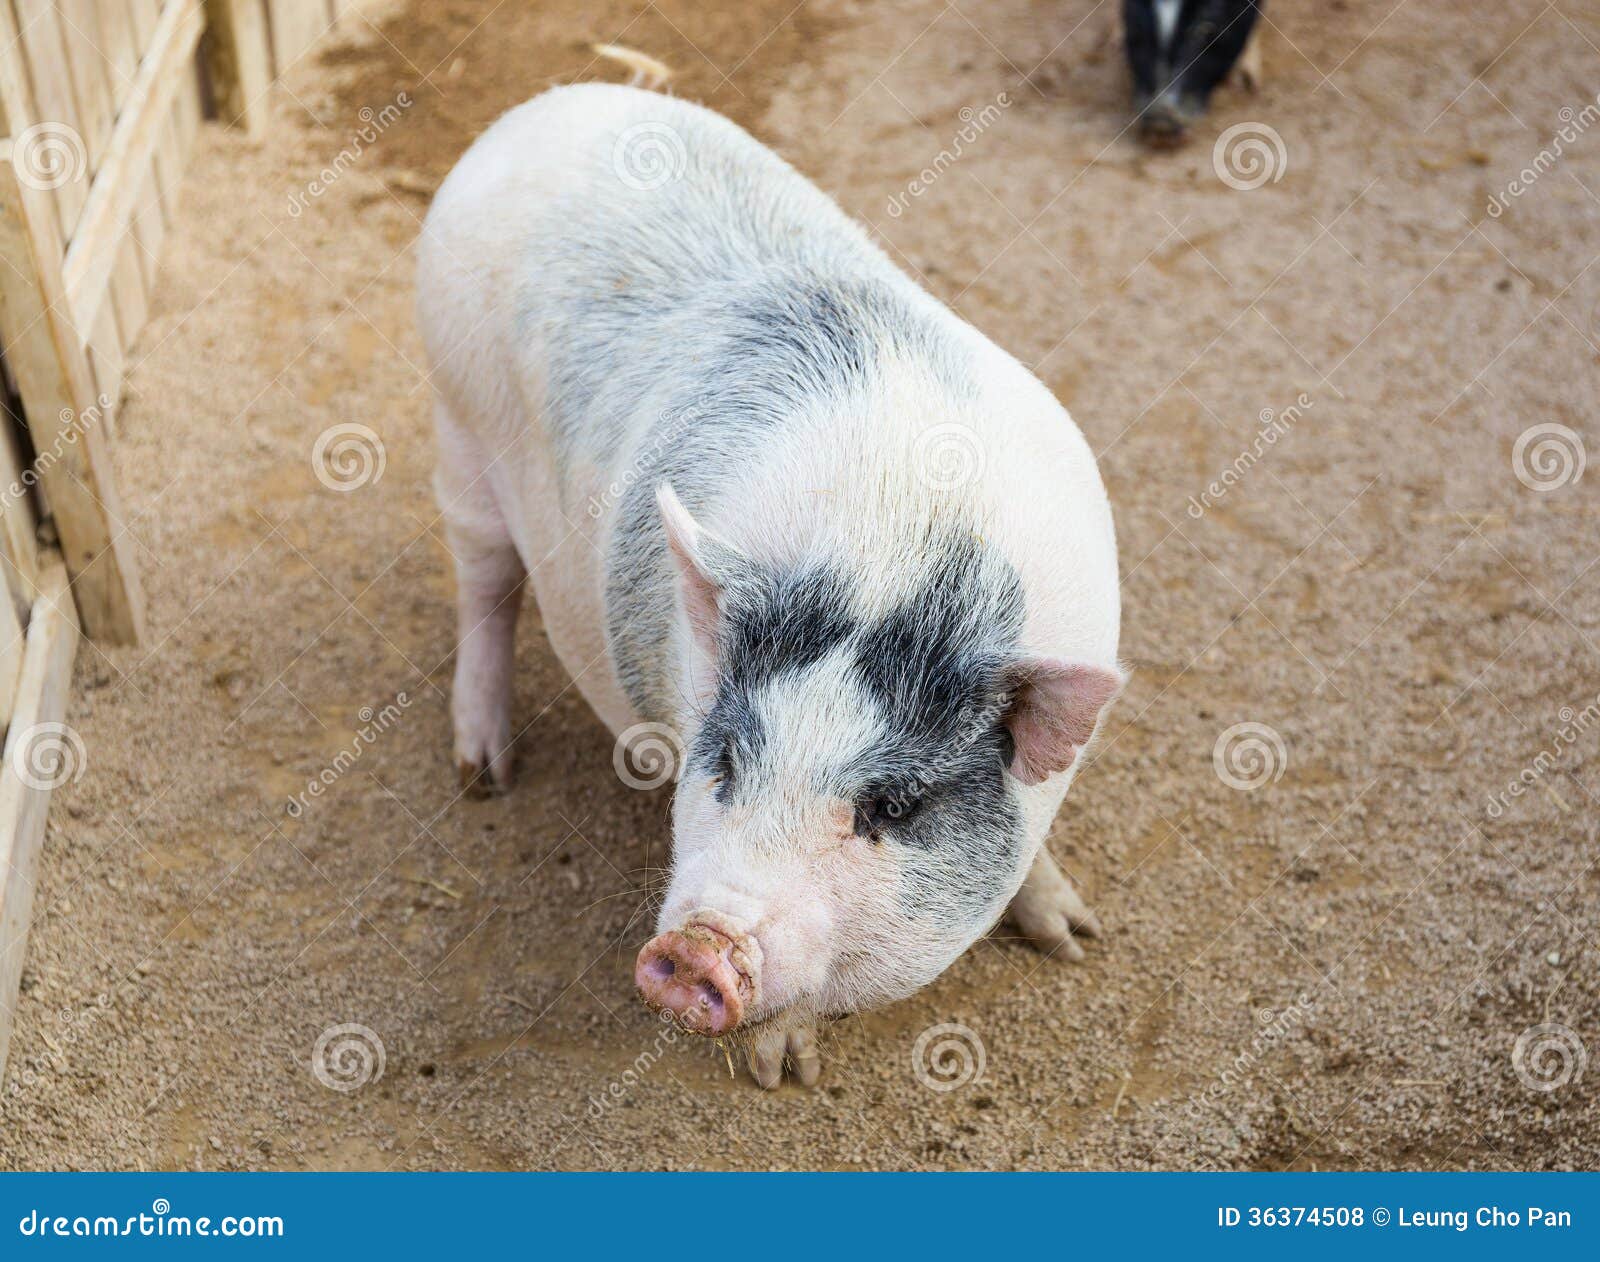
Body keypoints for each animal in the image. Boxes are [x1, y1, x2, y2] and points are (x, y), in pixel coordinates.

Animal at [416, 84, 1123, 1088]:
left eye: (891, 808)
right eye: (728, 760)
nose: (696, 950)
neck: (903, 555)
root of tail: (545, 107)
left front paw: (1074, 939)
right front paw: (782, 1073)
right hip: (456, 428)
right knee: (485, 590)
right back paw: (484, 774)